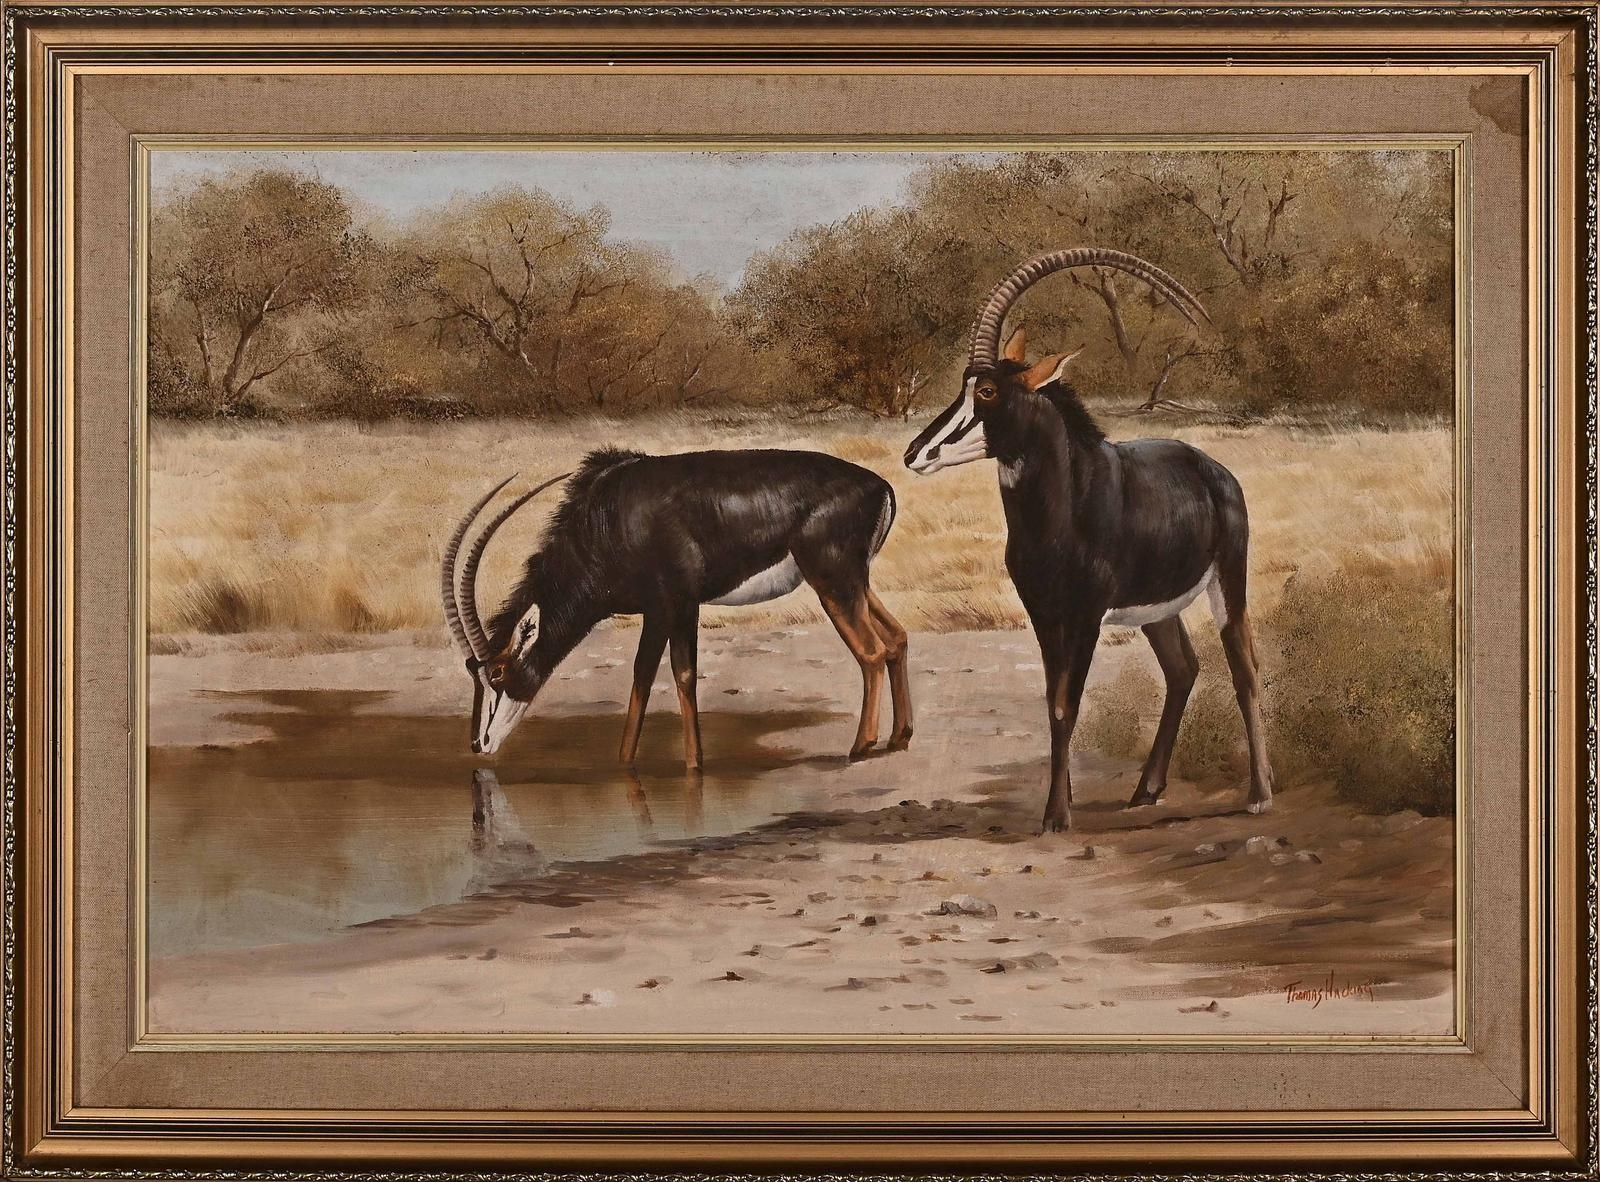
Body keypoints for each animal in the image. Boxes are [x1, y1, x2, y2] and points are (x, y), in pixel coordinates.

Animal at [439, 447, 911, 767]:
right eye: (475, 676)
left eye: (497, 673)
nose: (479, 744)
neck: (608, 518)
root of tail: (882, 487)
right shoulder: (665, 609)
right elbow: (651, 676)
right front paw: (630, 764)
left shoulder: (674, 604)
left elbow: (674, 675)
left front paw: (690, 766)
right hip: (853, 583)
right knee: (897, 639)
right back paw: (900, 737)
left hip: (833, 582)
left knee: (872, 651)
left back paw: (861, 745)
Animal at [904, 248, 1275, 833]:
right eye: (966, 383)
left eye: (987, 389)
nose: (915, 453)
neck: (1062, 509)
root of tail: (1212, 469)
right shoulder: (1043, 612)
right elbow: (1052, 701)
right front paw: (1062, 803)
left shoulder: (1084, 615)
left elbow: (1067, 704)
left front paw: (1057, 816)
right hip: (1157, 608)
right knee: (1183, 669)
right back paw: (1146, 790)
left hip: (1227, 582)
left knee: (1244, 668)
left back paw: (1259, 794)